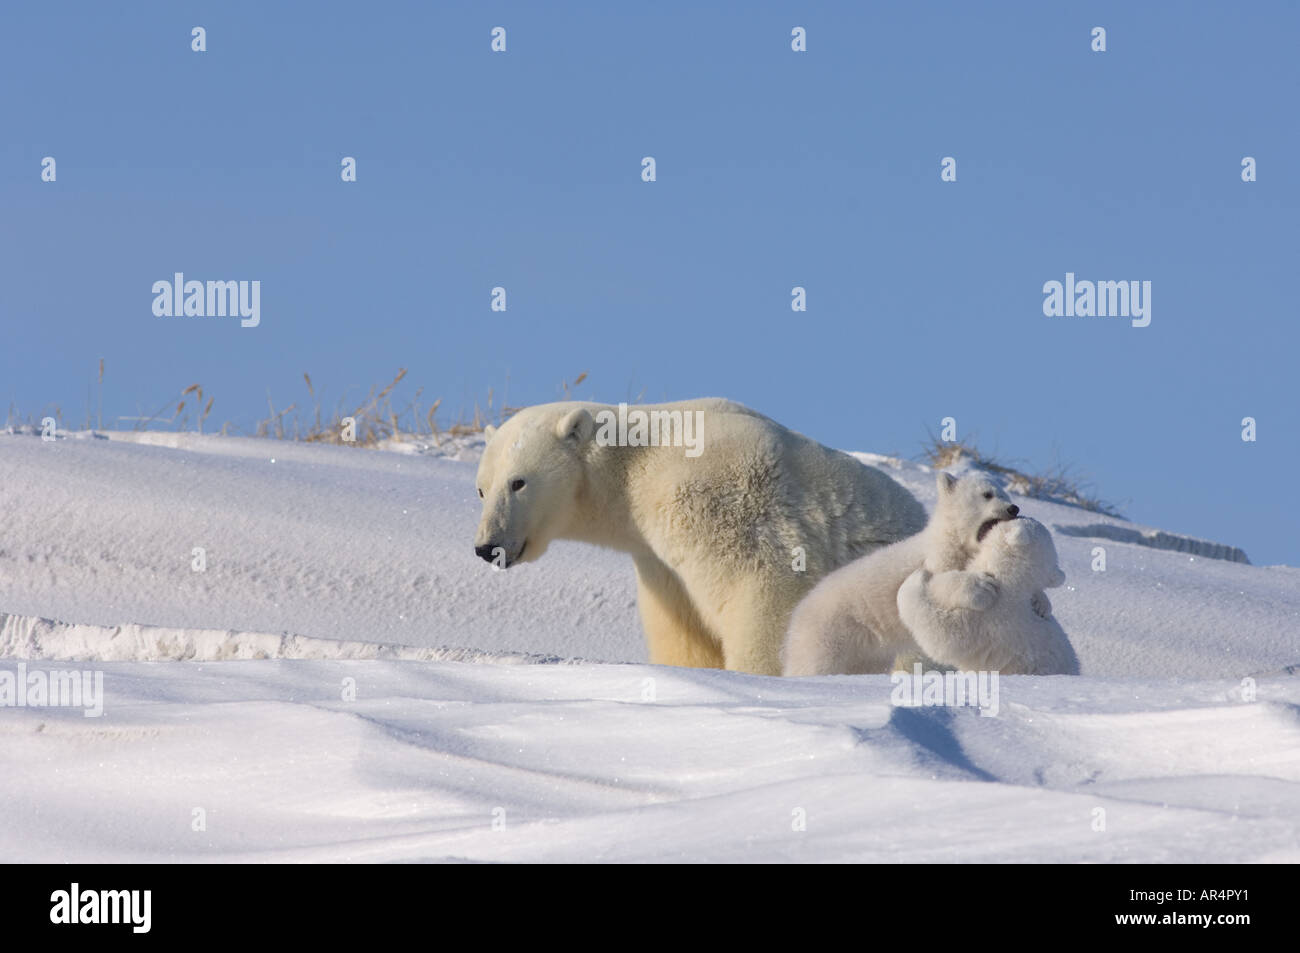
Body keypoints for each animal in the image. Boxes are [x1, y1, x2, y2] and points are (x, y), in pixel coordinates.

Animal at [472, 399, 927, 675]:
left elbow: (767, 589)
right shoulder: (658, 561)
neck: (637, 468)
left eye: (518, 482)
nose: (487, 547)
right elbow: (684, 632)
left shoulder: (713, 493)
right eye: (481, 489)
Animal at [781, 470, 1019, 676]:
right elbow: (926, 586)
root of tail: (796, 616)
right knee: (815, 663)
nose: (1013, 508)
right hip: (828, 631)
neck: (952, 542)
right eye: (987, 494)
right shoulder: (934, 558)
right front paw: (982, 587)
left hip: (865, 651)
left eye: (1005, 494)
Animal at [896, 515, 1080, 676]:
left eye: (1023, 518)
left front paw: (919, 578)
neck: (1011, 580)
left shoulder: (984, 621)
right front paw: (1042, 603)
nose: (1014, 511)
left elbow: (939, 633)